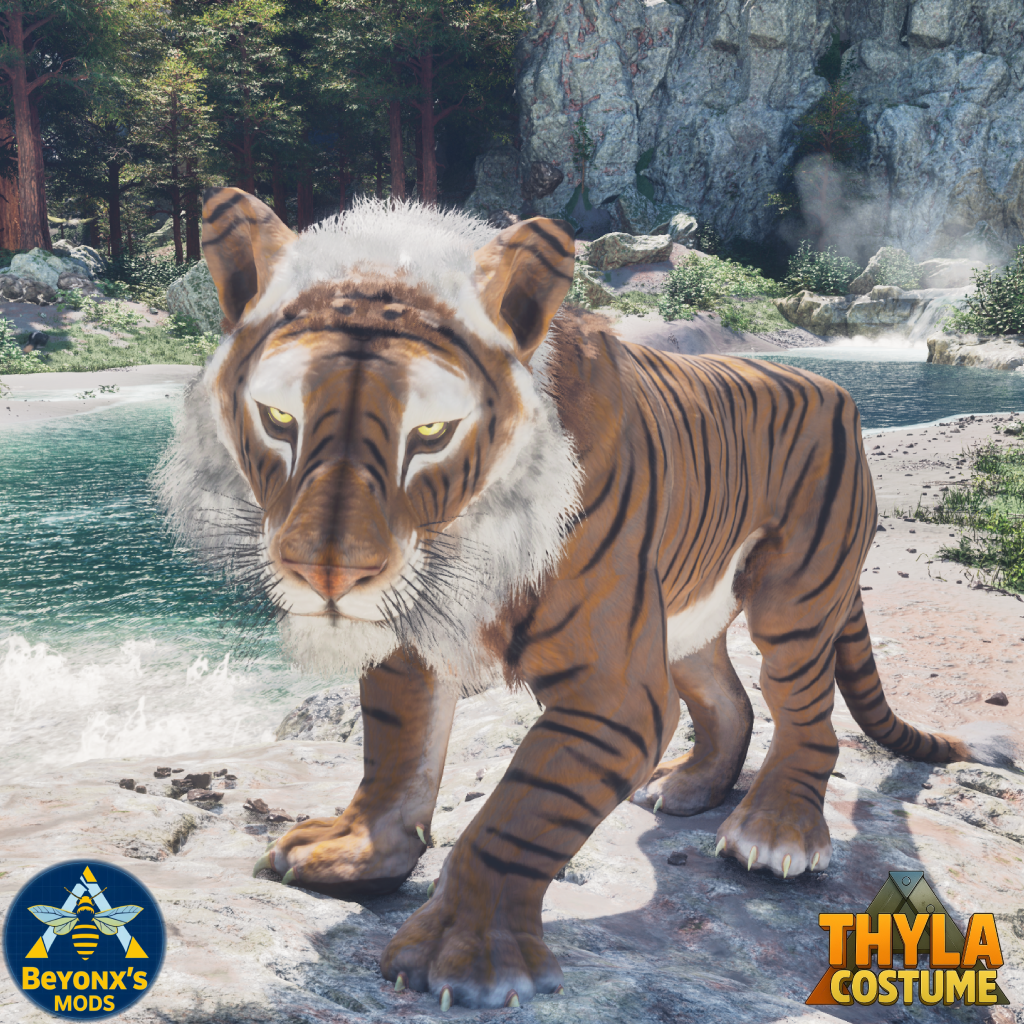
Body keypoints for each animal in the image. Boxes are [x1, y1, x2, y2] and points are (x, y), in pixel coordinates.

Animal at [157, 186, 1014, 1012]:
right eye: (280, 418)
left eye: (431, 432)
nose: (327, 572)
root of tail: (832, 386)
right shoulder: (411, 643)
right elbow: (396, 752)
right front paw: (357, 854)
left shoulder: (613, 692)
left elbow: (519, 814)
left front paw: (463, 955)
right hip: (686, 615)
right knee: (729, 701)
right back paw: (688, 787)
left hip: (795, 599)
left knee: (807, 718)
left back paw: (775, 834)